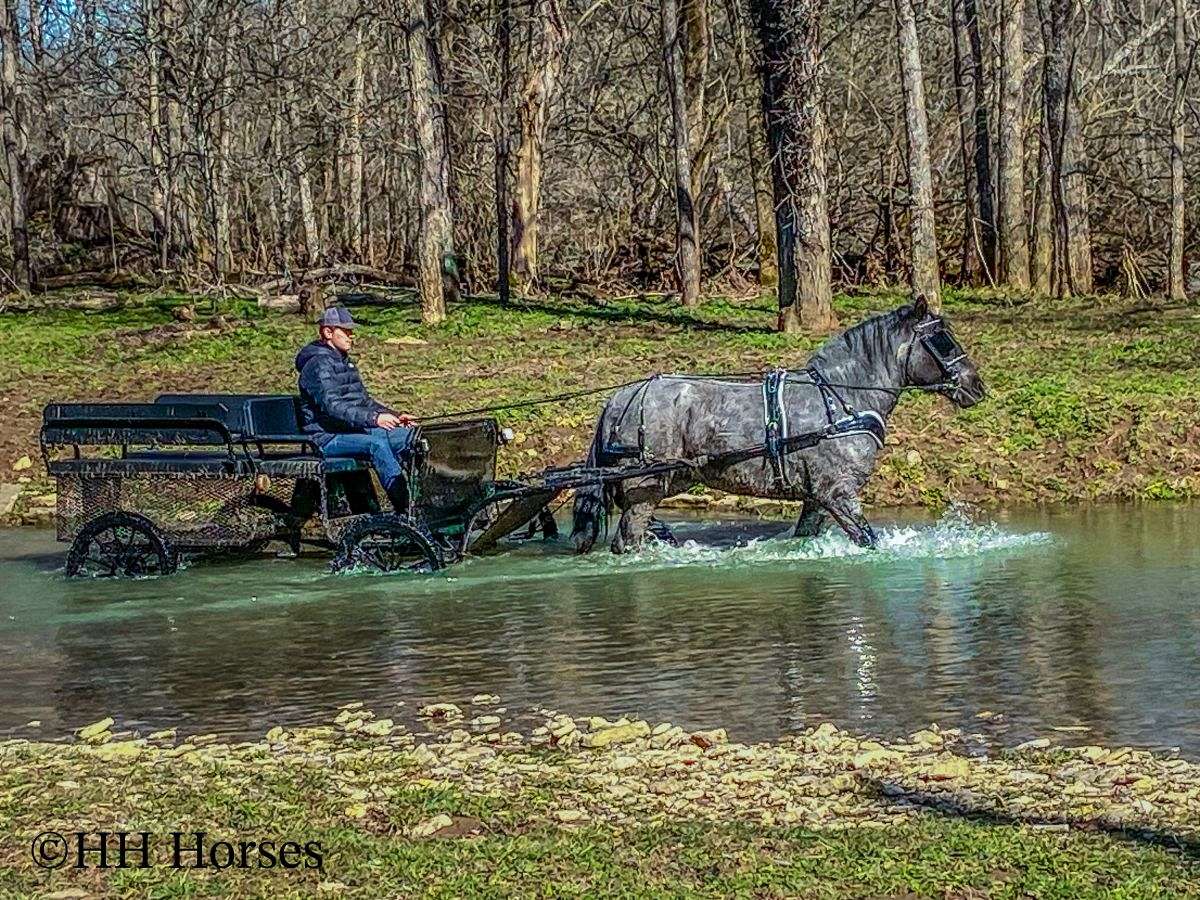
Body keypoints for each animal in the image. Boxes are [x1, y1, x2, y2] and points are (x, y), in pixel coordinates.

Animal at [569, 296, 985, 554]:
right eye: (942, 340)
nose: (977, 385)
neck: (841, 400)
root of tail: (622, 397)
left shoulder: (816, 499)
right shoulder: (839, 494)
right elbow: (868, 539)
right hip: (645, 488)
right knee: (628, 541)